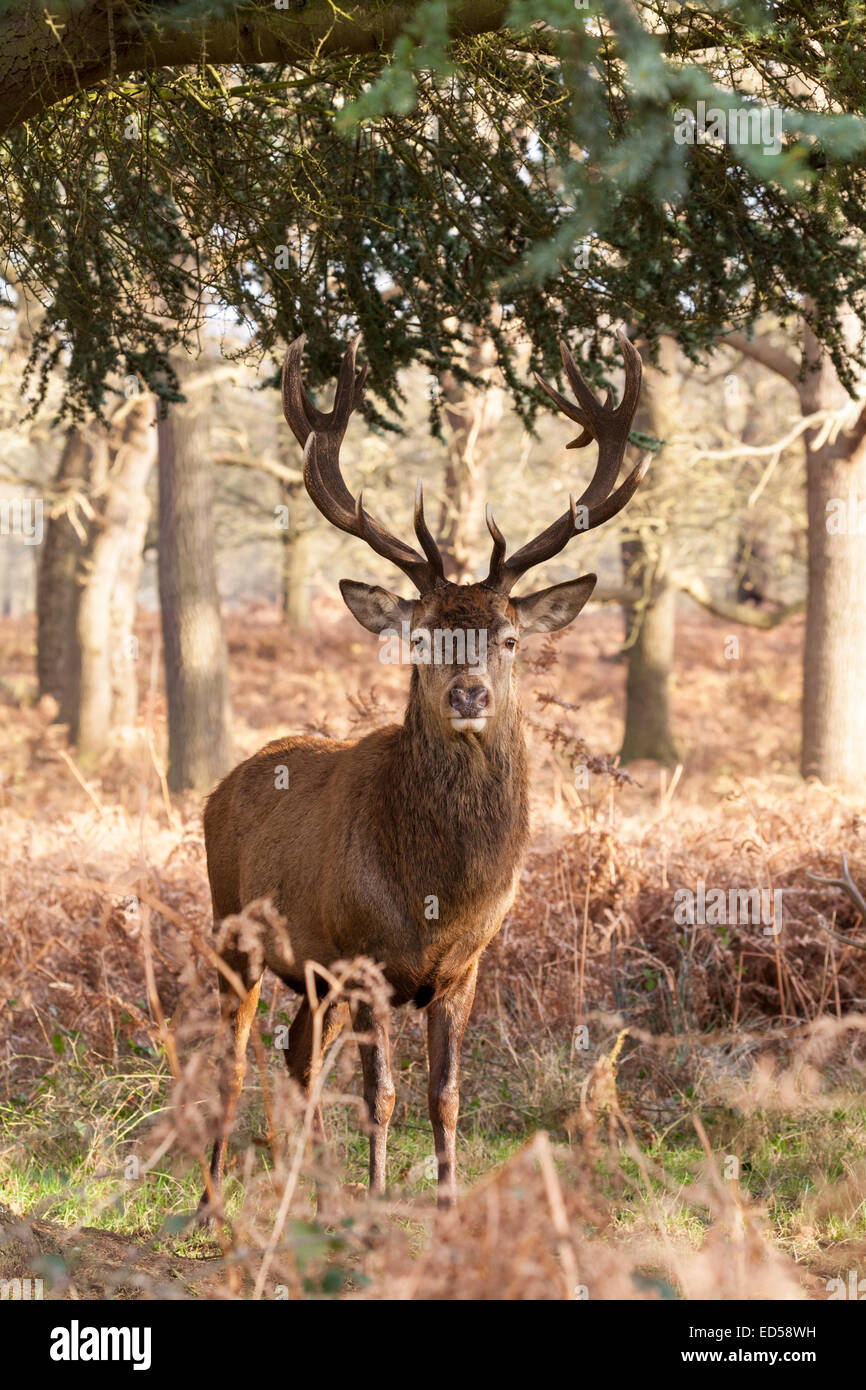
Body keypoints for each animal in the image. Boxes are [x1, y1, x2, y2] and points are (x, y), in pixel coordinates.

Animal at [199, 326, 648, 1219]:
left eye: (508, 637)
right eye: (426, 634)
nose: (469, 691)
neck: (436, 895)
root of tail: (224, 785)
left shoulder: (462, 969)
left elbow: (444, 1096)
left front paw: (444, 1202)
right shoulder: (365, 958)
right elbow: (380, 1096)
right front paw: (374, 1200)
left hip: (311, 979)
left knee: (296, 1061)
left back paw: (295, 1182)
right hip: (234, 928)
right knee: (234, 1056)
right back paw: (212, 1199)